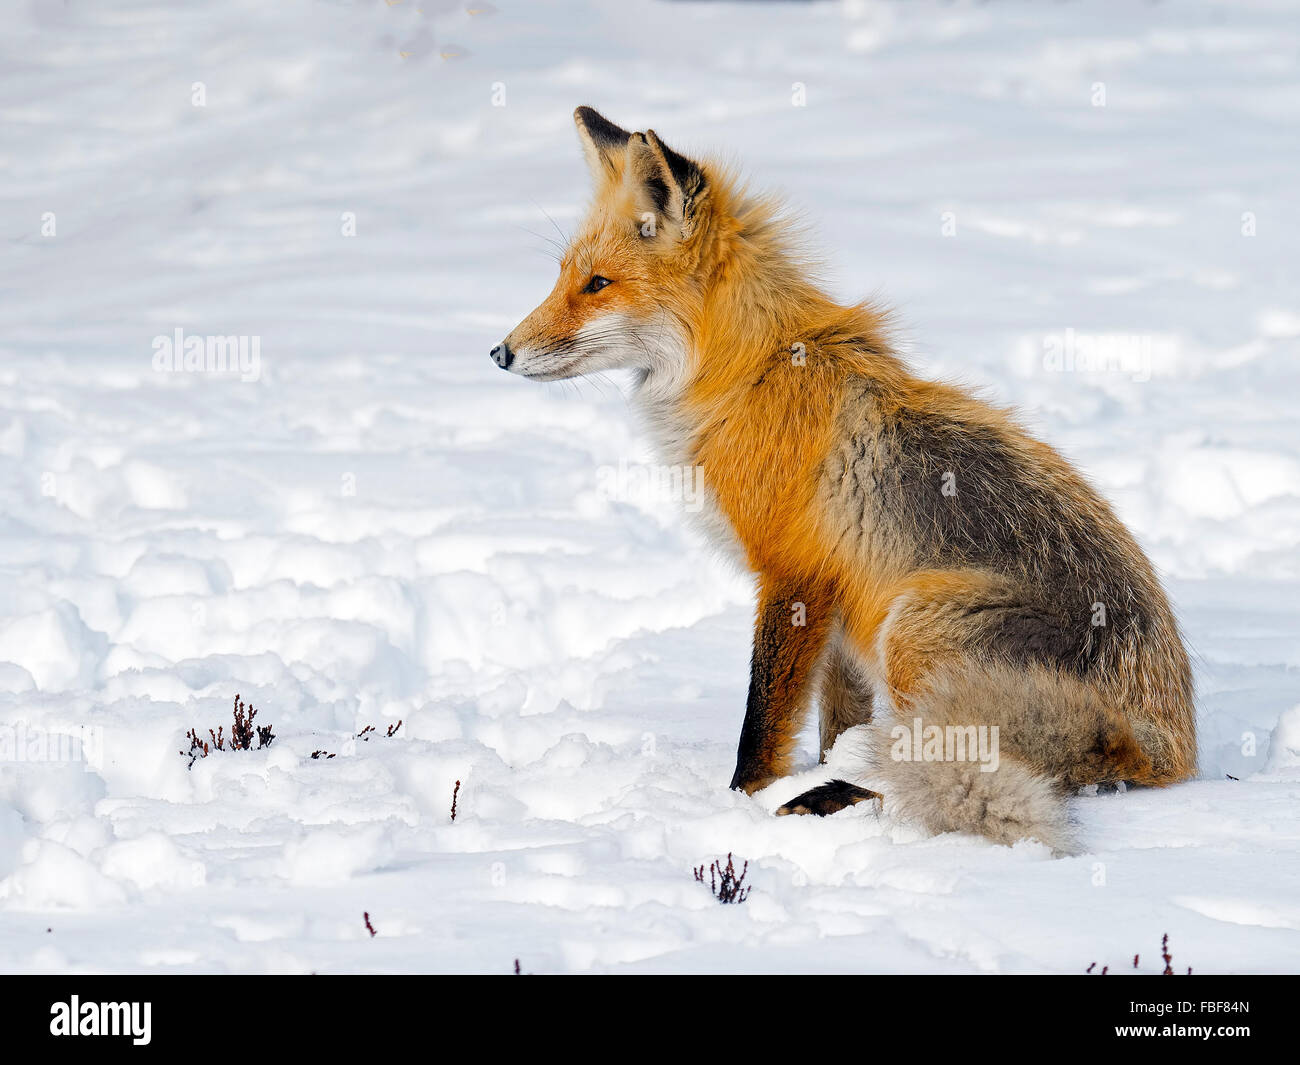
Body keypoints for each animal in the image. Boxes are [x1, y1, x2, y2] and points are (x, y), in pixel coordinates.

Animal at [490, 106, 1197, 854]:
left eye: (597, 284)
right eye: (563, 275)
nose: (499, 352)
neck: (750, 371)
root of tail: (1173, 747)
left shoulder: (792, 574)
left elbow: (762, 719)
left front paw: (741, 803)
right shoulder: (835, 590)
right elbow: (837, 720)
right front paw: (821, 767)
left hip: (912, 625)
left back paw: (838, 801)